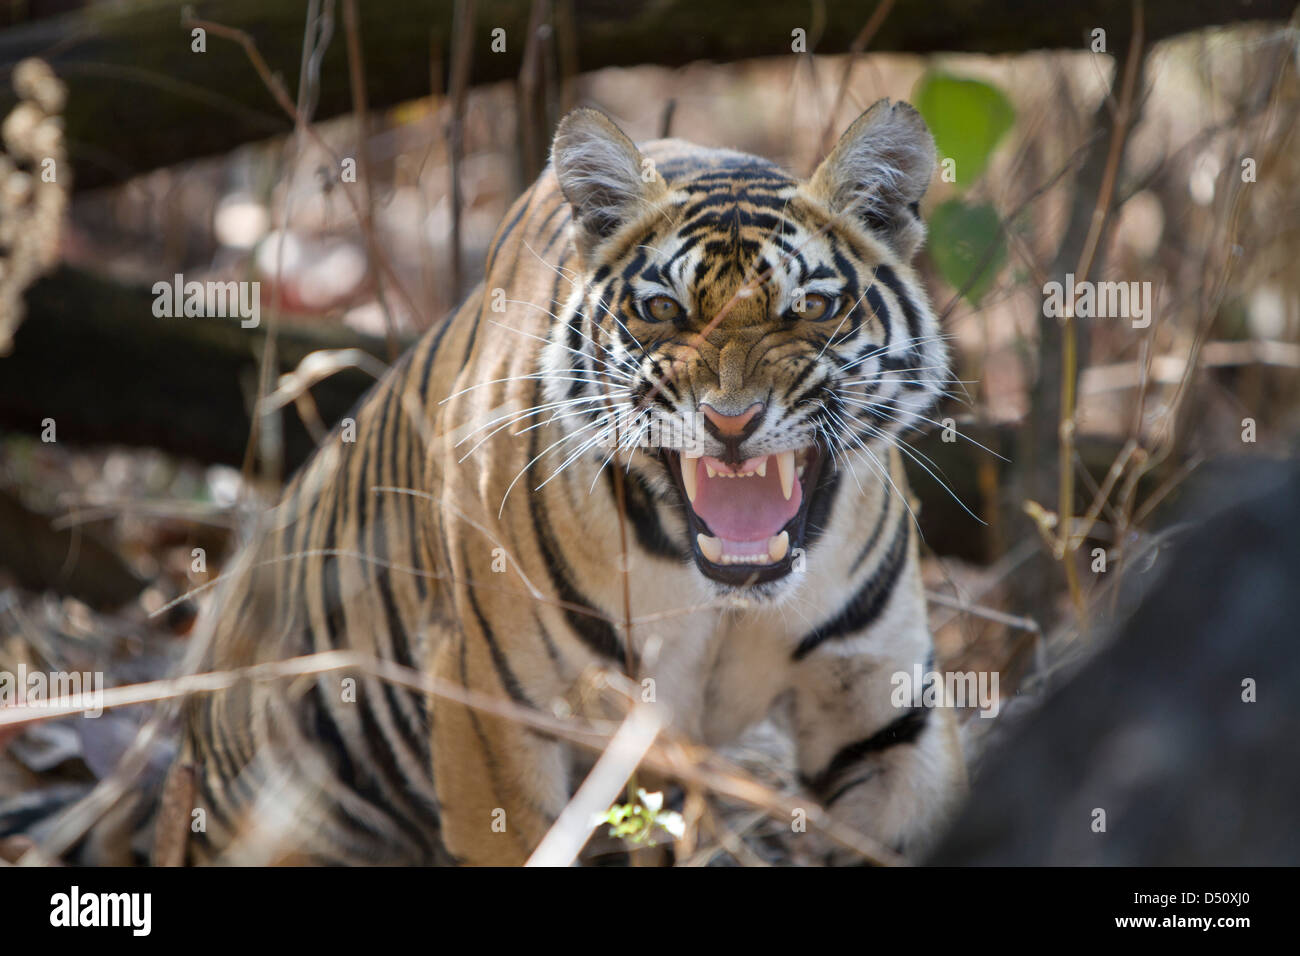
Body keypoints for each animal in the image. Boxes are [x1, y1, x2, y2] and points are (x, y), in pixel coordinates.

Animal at [167, 98, 966, 866]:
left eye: (813, 307)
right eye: (662, 309)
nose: (731, 420)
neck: (725, 600)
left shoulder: (884, 716)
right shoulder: (494, 707)